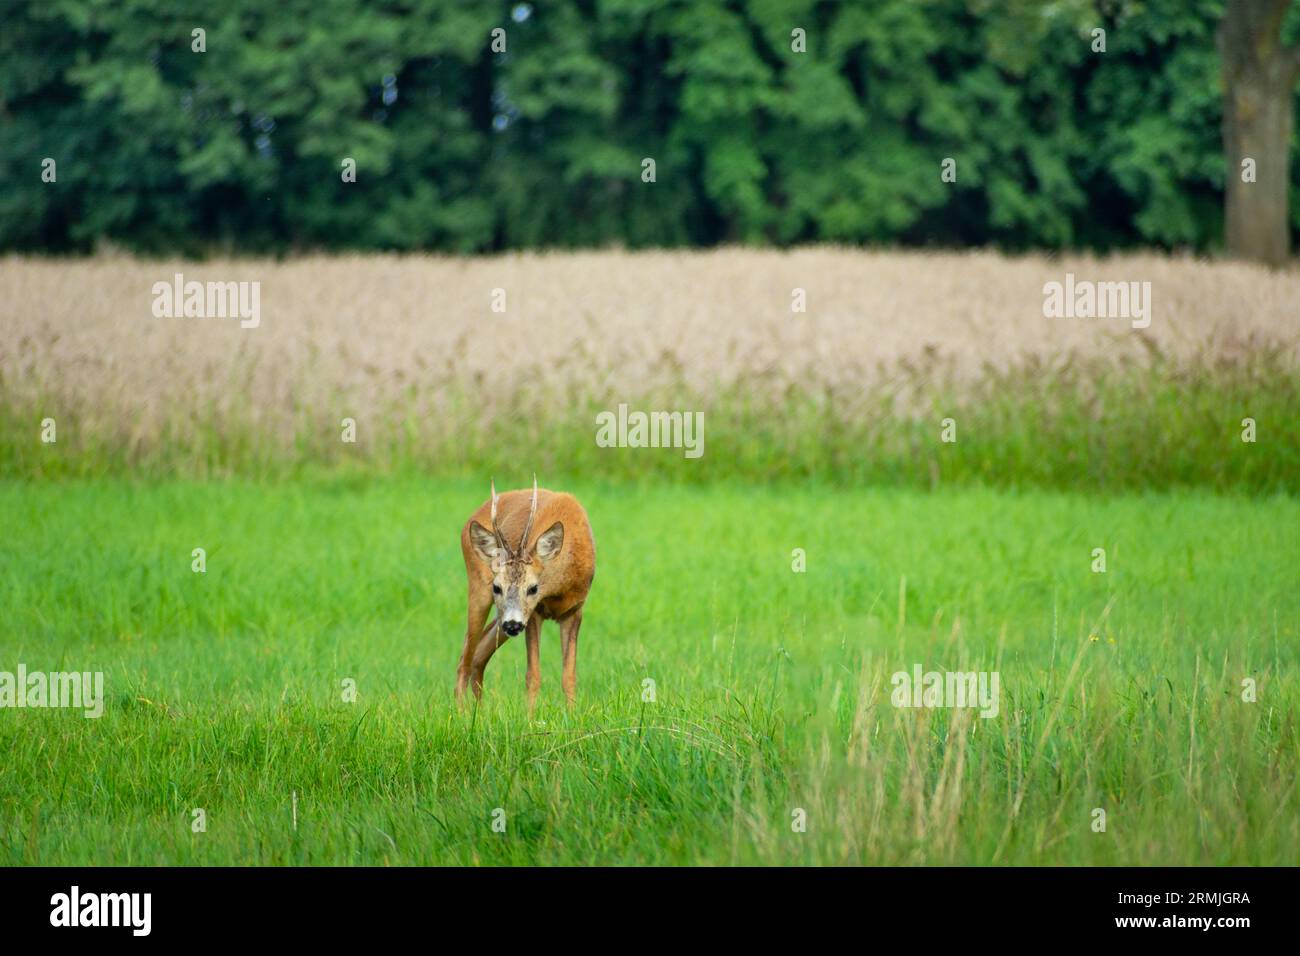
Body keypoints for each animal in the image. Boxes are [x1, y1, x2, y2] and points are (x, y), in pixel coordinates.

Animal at [456, 477, 595, 709]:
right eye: (497, 587)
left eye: (533, 588)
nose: (513, 625)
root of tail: (468, 521)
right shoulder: (535, 613)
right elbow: (533, 675)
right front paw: (529, 716)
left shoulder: (575, 610)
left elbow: (569, 676)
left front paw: (572, 714)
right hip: (479, 590)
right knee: (465, 657)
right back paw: (460, 713)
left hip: (505, 615)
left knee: (478, 653)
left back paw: (479, 712)